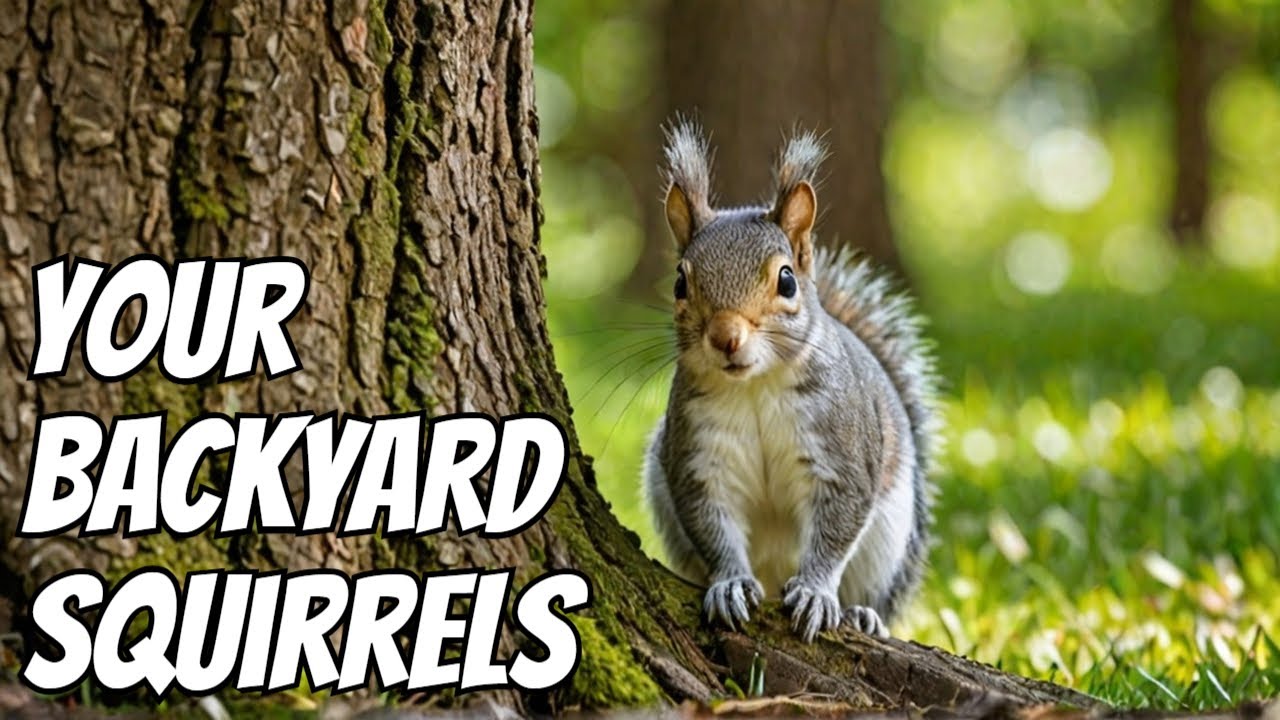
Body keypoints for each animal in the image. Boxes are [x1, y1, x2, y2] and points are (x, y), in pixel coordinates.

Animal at [642, 120, 940, 641]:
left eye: (786, 281)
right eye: (679, 283)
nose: (725, 337)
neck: (754, 387)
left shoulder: (841, 454)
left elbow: (836, 528)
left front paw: (816, 593)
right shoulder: (700, 457)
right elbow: (711, 526)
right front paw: (729, 584)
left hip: (888, 535)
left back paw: (861, 614)